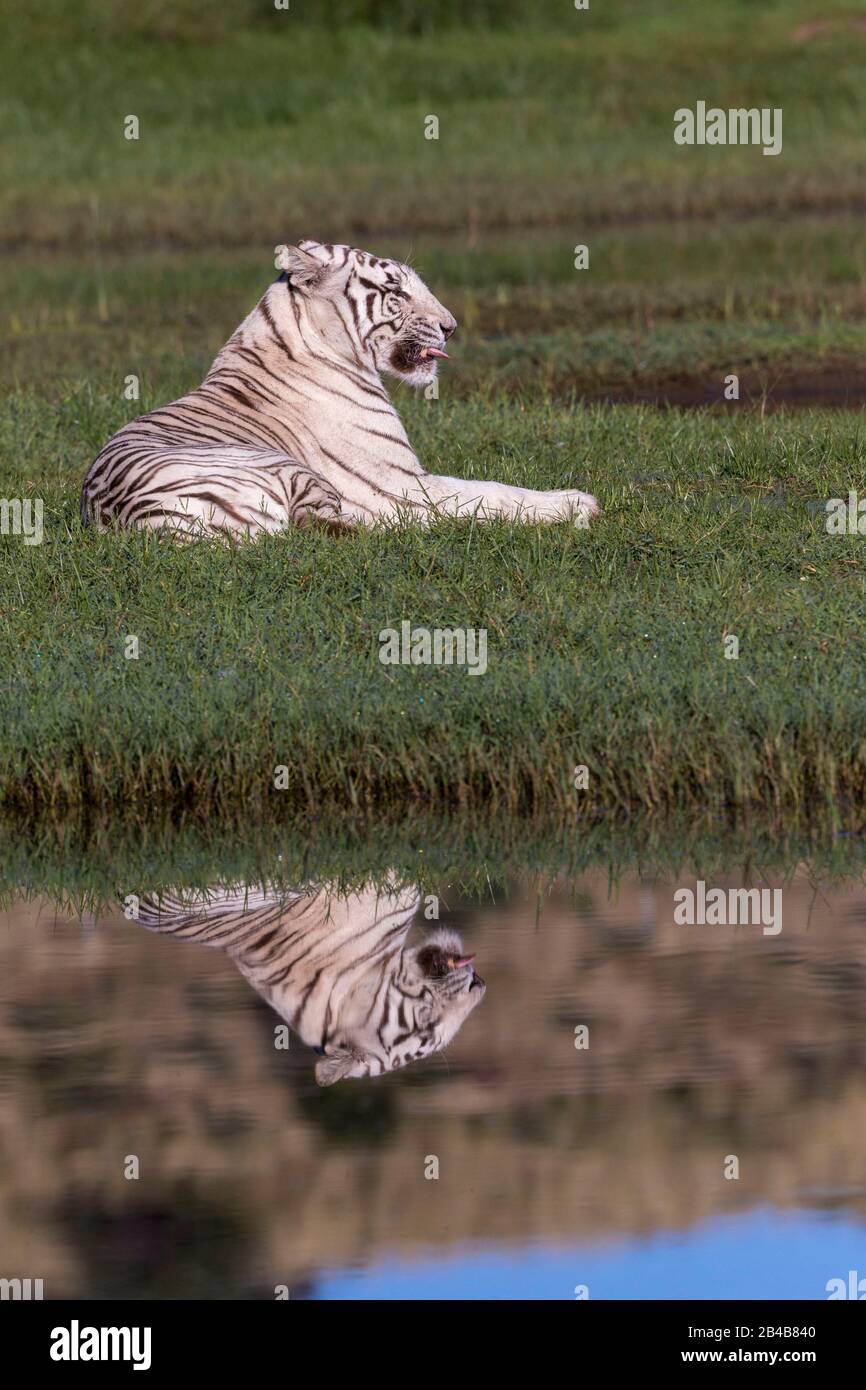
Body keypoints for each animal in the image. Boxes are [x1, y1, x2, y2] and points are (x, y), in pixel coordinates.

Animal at [81, 240, 600, 539]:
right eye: (397, 291)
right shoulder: (400, 486)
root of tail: (141, 522)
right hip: (290, 471)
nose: (452, 327)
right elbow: (489, 494)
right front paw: (577, 503)